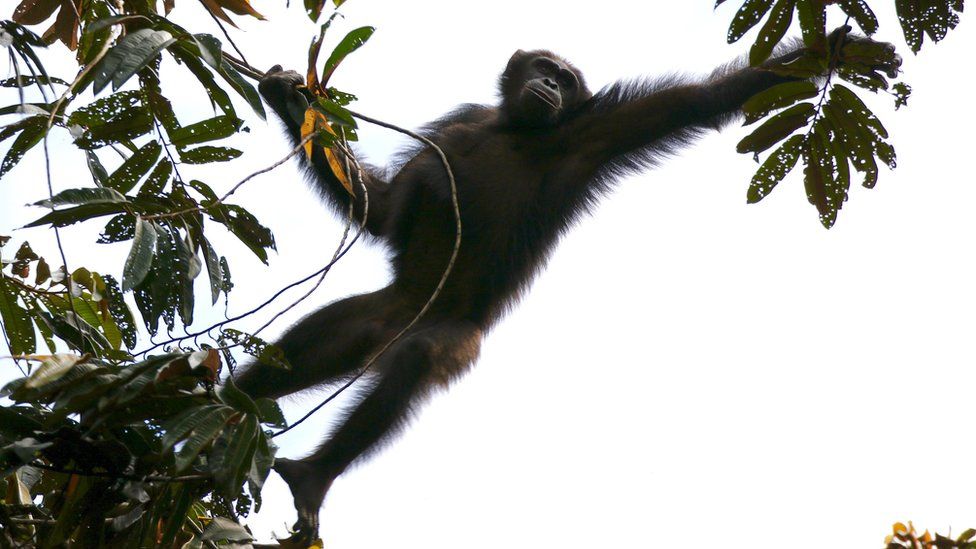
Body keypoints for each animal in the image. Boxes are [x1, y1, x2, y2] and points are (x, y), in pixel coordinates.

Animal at [236, 28, 899, 540]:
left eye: (567, 78)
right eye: (544, 68)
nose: (553, 86)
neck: (517, 132)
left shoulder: (597, 132)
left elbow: (702, 100)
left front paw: (849, 50)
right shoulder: (457, 122)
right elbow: (382, 209)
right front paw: (288, 96)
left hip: (450, 333)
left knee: (417, 359)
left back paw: (312, 477)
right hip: (384, 313)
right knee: (312, 341)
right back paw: (221, 398)